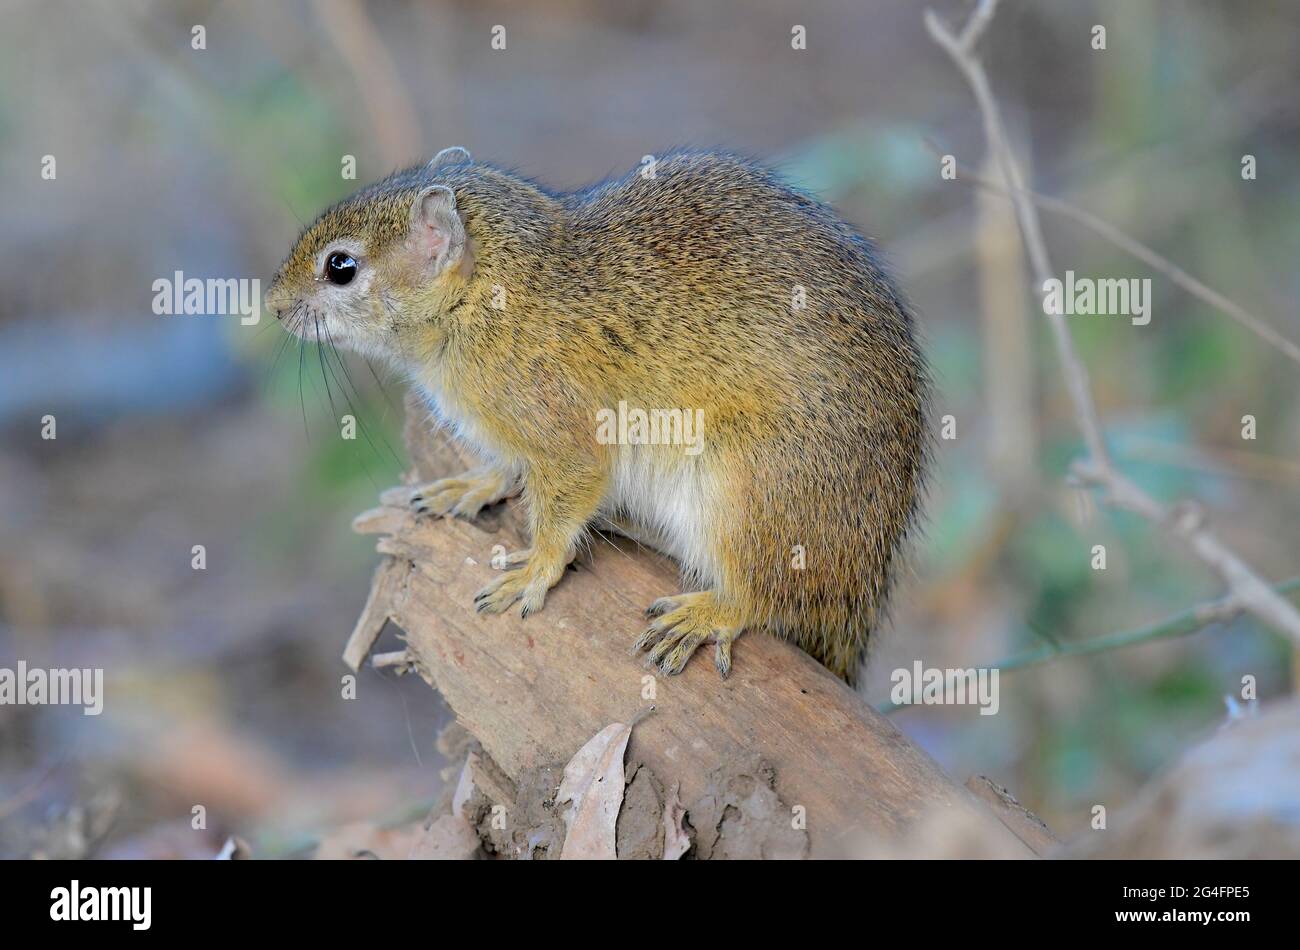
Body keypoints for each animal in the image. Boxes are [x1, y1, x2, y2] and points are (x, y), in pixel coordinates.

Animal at [267, 146, 929, 684]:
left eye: (340, 266)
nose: (271, 304)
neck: (491, 297)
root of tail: (859, 590)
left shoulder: (566, 436)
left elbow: (560, 515)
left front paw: (535, 570)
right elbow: (505, 468)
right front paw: (469, 484)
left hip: (749, 493)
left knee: (769, 598)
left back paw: (709, 612)